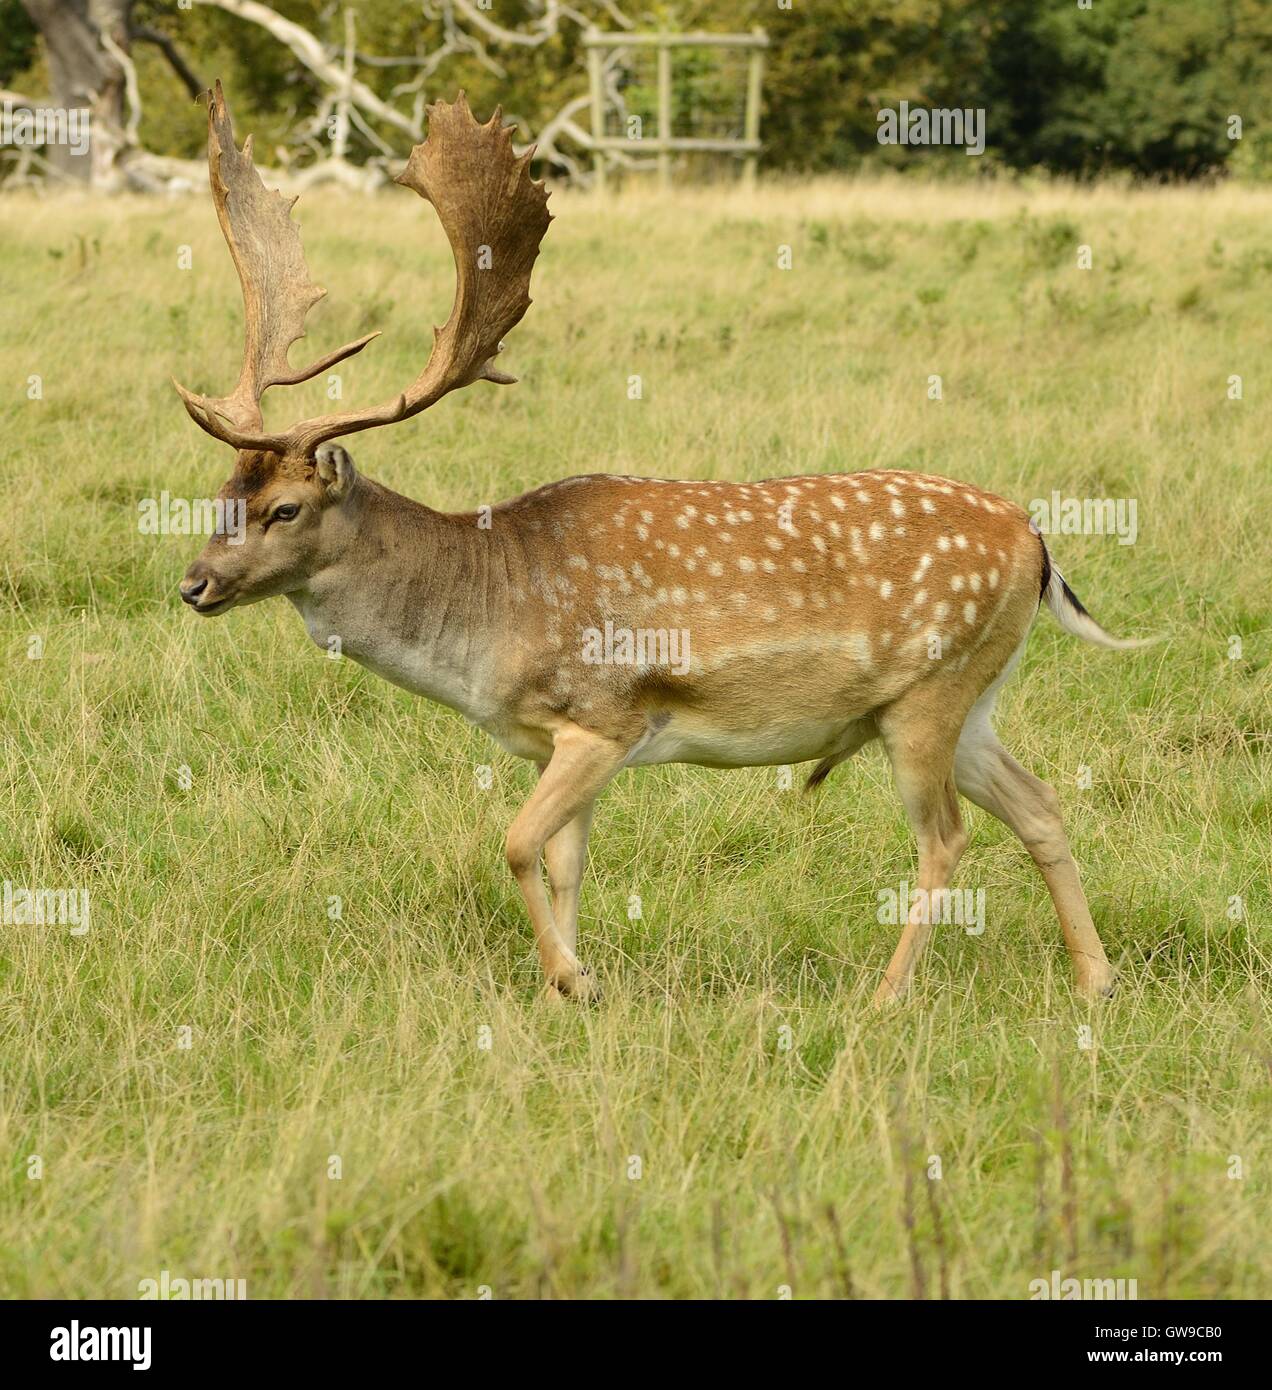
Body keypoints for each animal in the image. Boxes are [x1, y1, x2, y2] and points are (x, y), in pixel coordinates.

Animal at [176, 83, 1149, 1008]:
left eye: (286, 510)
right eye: (224, 495)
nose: (193, 585)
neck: (489, 622)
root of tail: (1037, 541)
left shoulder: (607, 714)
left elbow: (516, 843)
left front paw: (575, 980)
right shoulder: (556, 743)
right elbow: (563, 861)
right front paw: (568, 986)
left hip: (927, 696)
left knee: (947, 837)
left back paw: (885, 997)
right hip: (969, 700)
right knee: (1040, 803)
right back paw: (1095, 980)